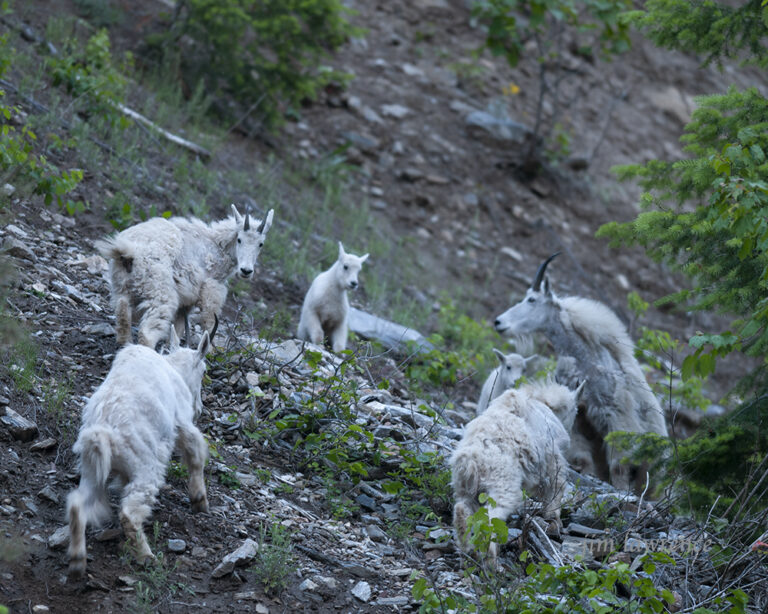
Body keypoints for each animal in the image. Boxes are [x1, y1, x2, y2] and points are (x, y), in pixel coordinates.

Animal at [66, 320, 216, 579]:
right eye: (204, 371)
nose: (200, 408)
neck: (173, 368)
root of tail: (104, 434)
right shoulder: (182, 422)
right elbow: (195, 452)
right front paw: (199, 500)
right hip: (146, 467)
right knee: (129, 512)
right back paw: (146, 556)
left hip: (92, 470)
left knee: (77, 504)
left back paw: (77, 561)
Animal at [97, 205, 274, 349]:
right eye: (239, 239)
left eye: (261, 244)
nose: (246, 270)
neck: (218, 246)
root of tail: (128, 253)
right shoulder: (211, 288)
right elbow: (209, 321)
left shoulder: (187, 299)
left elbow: (179, 326)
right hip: (160, 291)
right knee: (147, 332)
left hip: (121, 286)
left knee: (122, 314)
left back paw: (125, 344)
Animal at [451, 379, 583, 563]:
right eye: (575, 411)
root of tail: (471, 459)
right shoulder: (553, 461)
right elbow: (556, 489)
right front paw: (555, 520)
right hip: (502, 484)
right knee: (490, 518)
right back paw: (491, 559)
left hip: (468, 488)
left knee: (462, 510)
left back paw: (467, 550)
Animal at [494, 253, 668, 490]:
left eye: (532, 300)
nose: (499, 322)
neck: (585, 359)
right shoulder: (579, 414)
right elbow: (582, 457)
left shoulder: (616, 416)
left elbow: (618, 465)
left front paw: (621, 489)